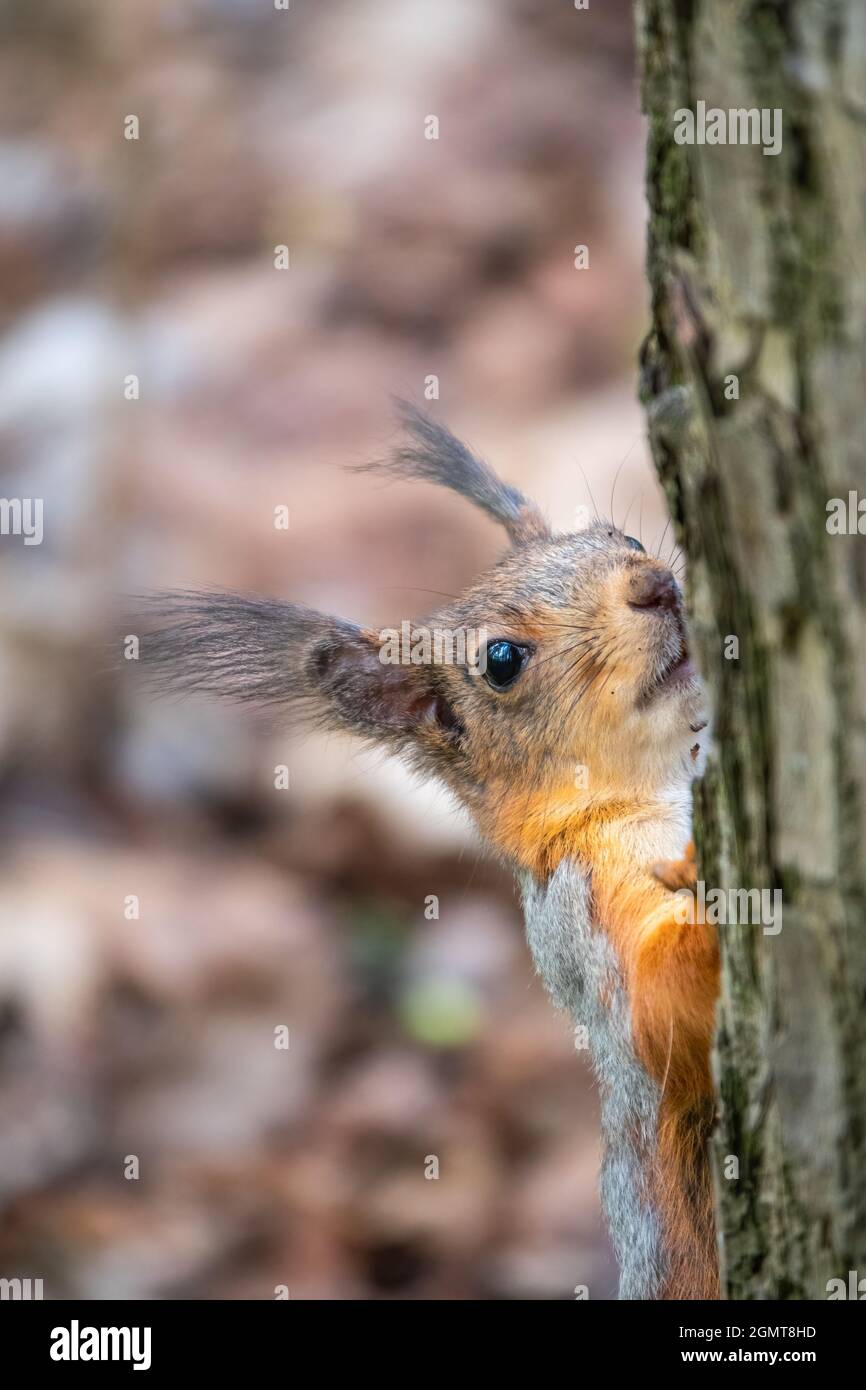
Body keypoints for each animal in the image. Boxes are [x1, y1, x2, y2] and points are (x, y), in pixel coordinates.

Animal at [142, 403, 720, 1300]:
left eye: (619, 534)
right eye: (501, 660)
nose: (654, 584)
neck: (651, 787)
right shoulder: (586, 916)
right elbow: (659, 1015)